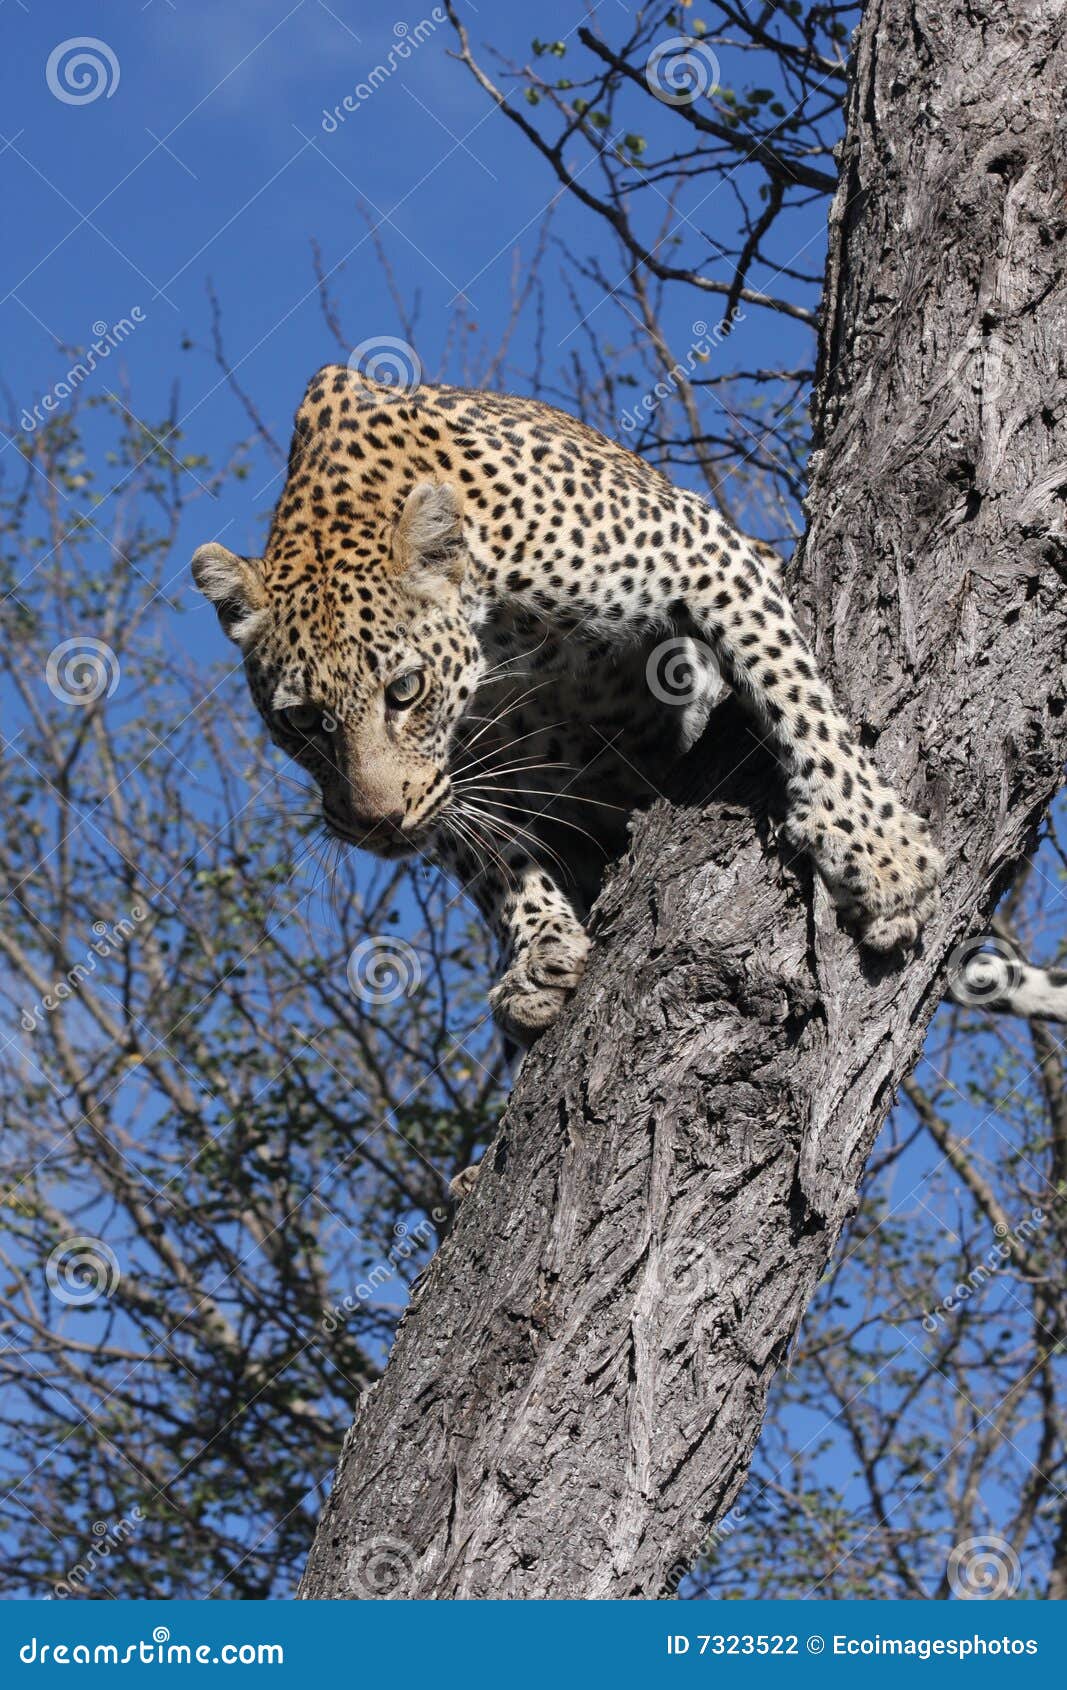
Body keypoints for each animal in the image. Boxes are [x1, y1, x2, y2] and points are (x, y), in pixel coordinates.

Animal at [192, 363, 942, 1046]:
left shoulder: (700, 548)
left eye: (404, 691)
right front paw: (537, 953)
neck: (496, 636)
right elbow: (489, 855)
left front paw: (877, 851)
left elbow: (790, 685)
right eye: (300, 722)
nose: (377, 825)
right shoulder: (451, 774)